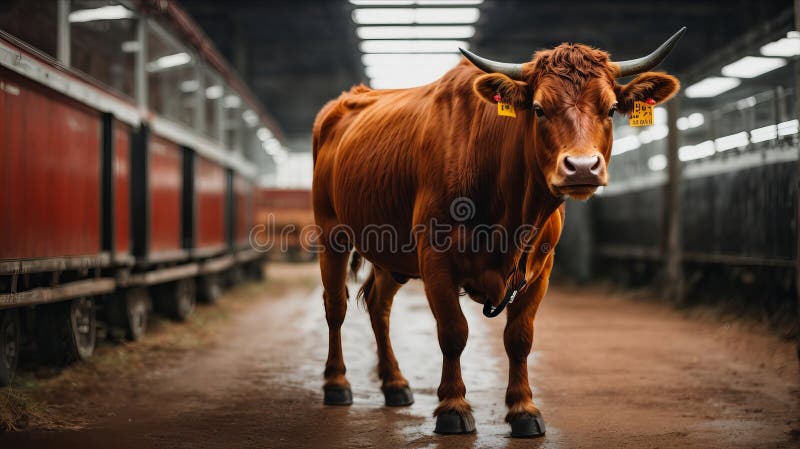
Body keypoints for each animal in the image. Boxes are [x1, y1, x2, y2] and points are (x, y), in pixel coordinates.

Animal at [311, 29, 683, 437]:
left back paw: (394, 383)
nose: (582, 167)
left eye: (611, 108)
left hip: (390, 252)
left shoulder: (540, 269)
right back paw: (336, 383)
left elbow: (519, 337)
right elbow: (453, 332)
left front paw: (523, 409)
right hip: (331, 234)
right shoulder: (435, 259)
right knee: (335, 307)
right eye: (539, 108)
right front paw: (453, 406)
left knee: (379, 306)